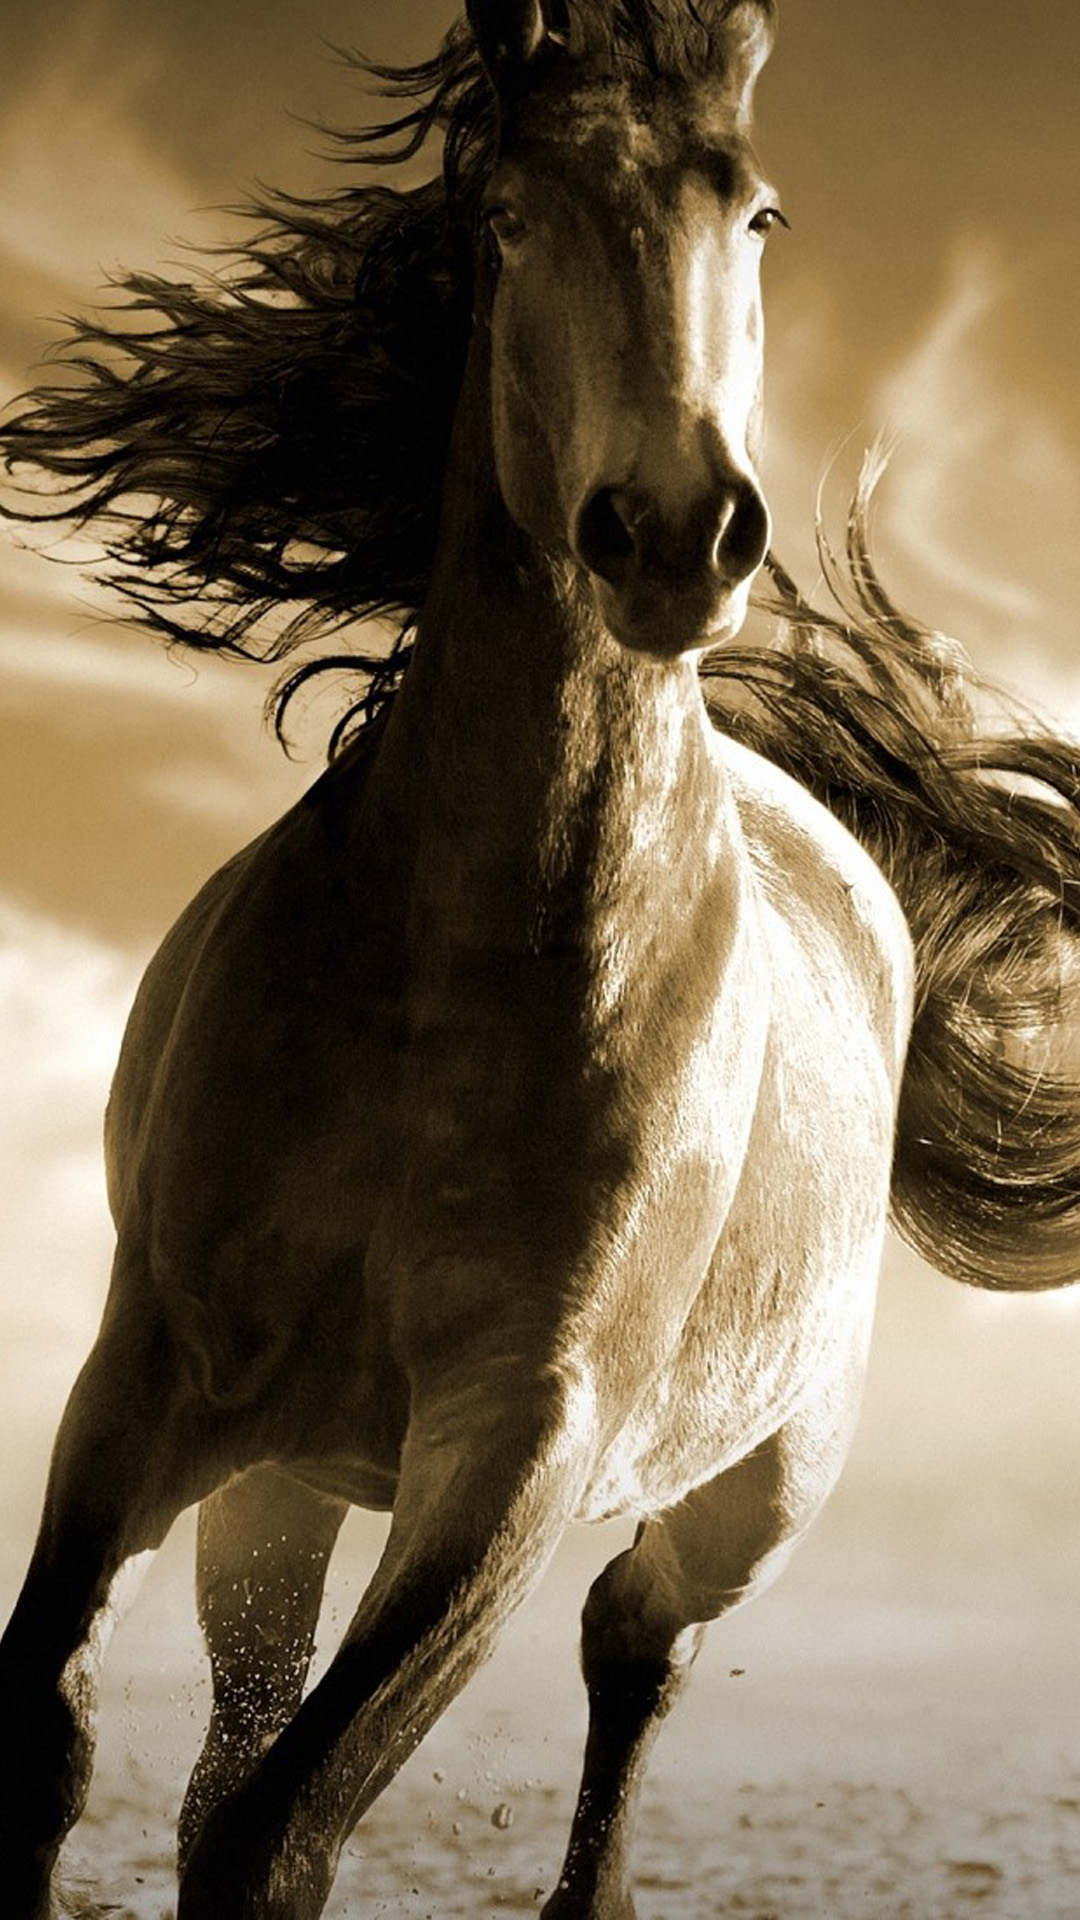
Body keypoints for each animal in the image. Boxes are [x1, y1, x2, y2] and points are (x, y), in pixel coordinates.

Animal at [3, 2, 1080, 1915]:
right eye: (505, 213)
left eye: (759, 213)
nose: (674, 533)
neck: (458, 978)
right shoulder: (151, 1374)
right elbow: (56, 1753)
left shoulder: (513, 1449)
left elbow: (287, 1826)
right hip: (281, 1483)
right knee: (233, 1747)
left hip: (753, 1487)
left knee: (631, 1644)